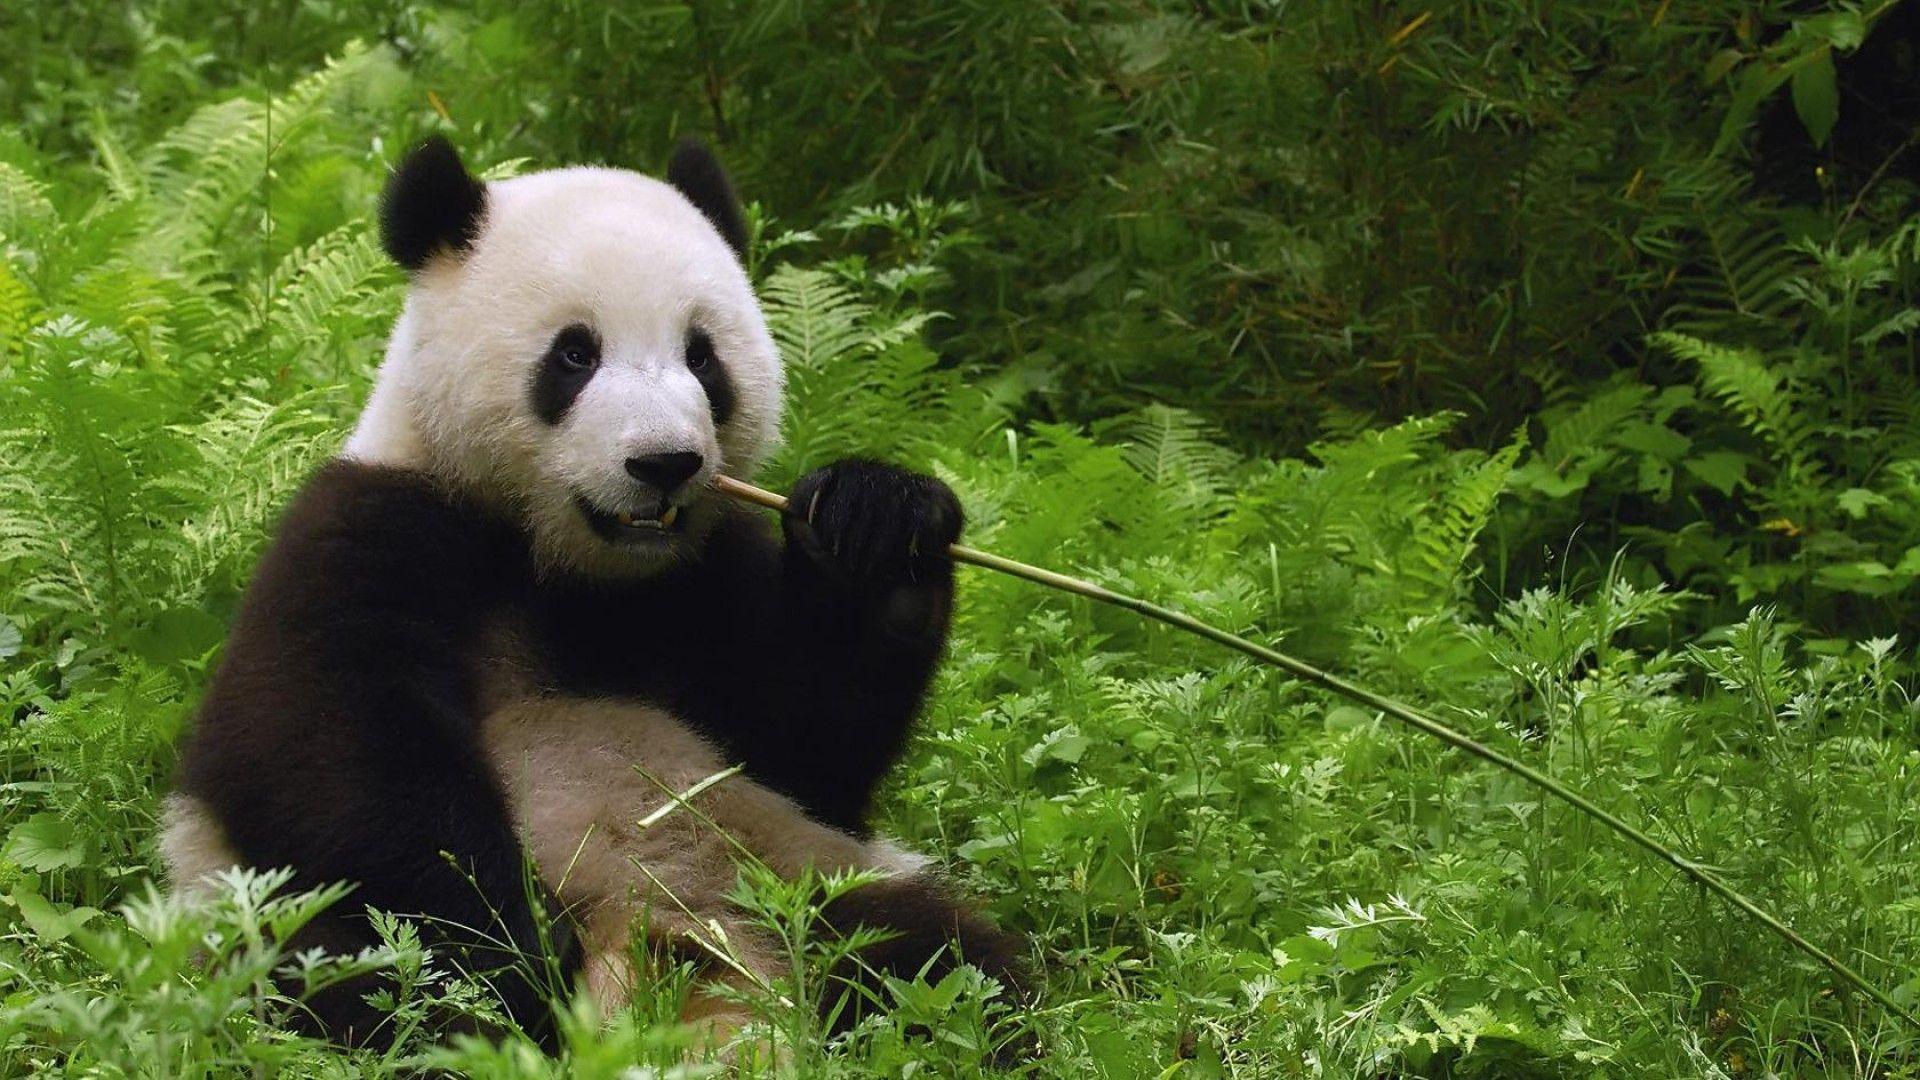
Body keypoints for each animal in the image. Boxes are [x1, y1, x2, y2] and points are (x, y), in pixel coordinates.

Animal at [158, 136, 1027, 1052]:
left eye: (702, 356)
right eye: (574, 355)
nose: (665, 463)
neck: (574, 568)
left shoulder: (707, 575)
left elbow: (809, 744)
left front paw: (878, 527)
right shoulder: (369, 532)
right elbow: (328, 751)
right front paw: (516, 953)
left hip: (797, 874)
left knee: (941, 964)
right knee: (360, 973)